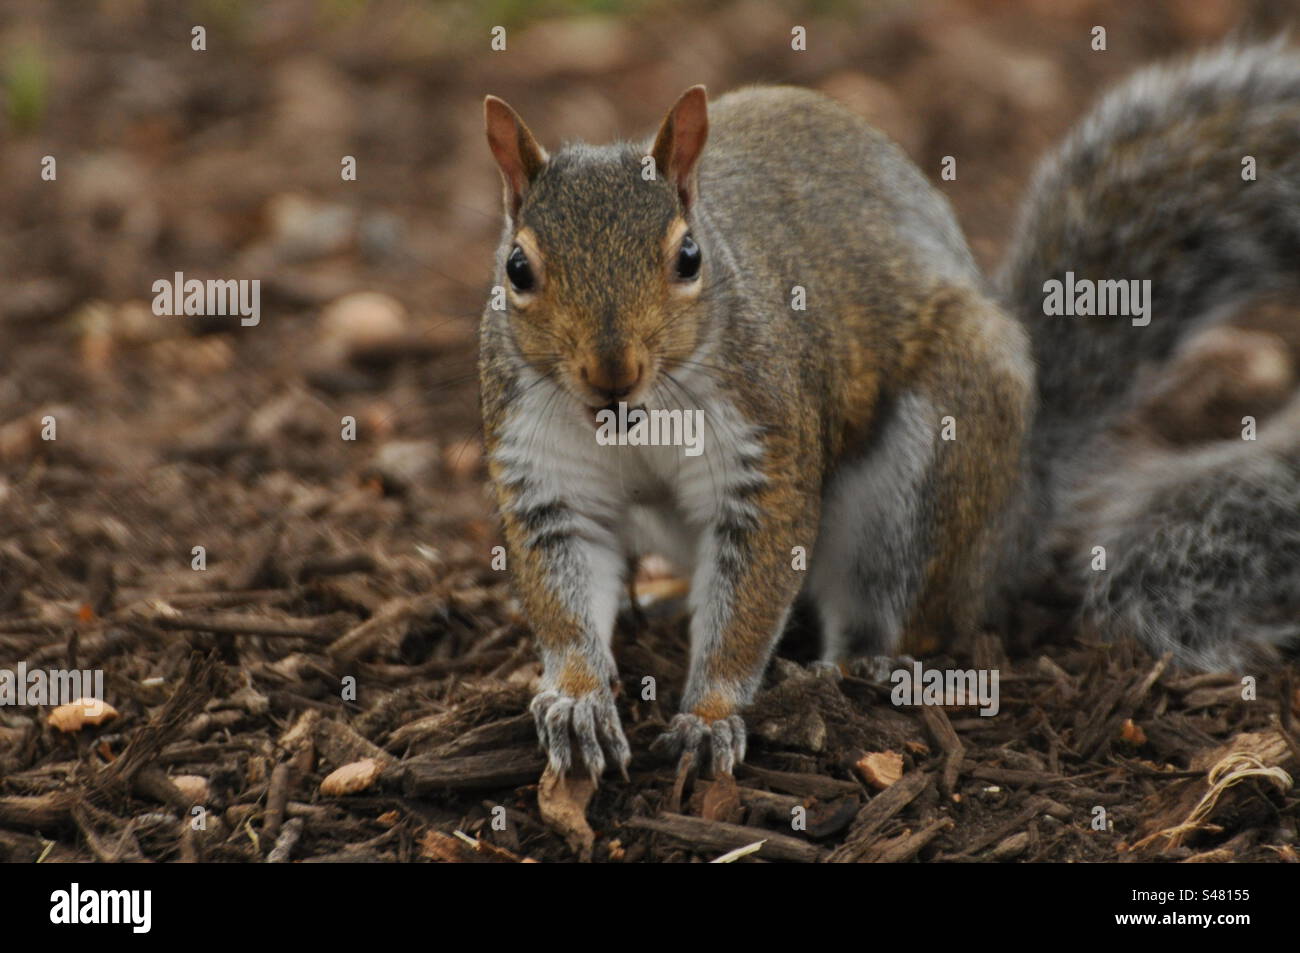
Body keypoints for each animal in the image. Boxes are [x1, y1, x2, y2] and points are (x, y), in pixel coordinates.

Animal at [478, 41, 1300, 780]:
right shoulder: (543, 468)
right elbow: (564, 588)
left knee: (904, 610)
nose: (611, 373)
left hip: (927, 469)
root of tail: (1022, 500)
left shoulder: (766, 449)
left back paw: (846, 671)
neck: (636, 416)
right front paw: (578, 700)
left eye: (689, 258)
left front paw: (710, 716)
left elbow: (748, 603)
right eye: (517, 268)